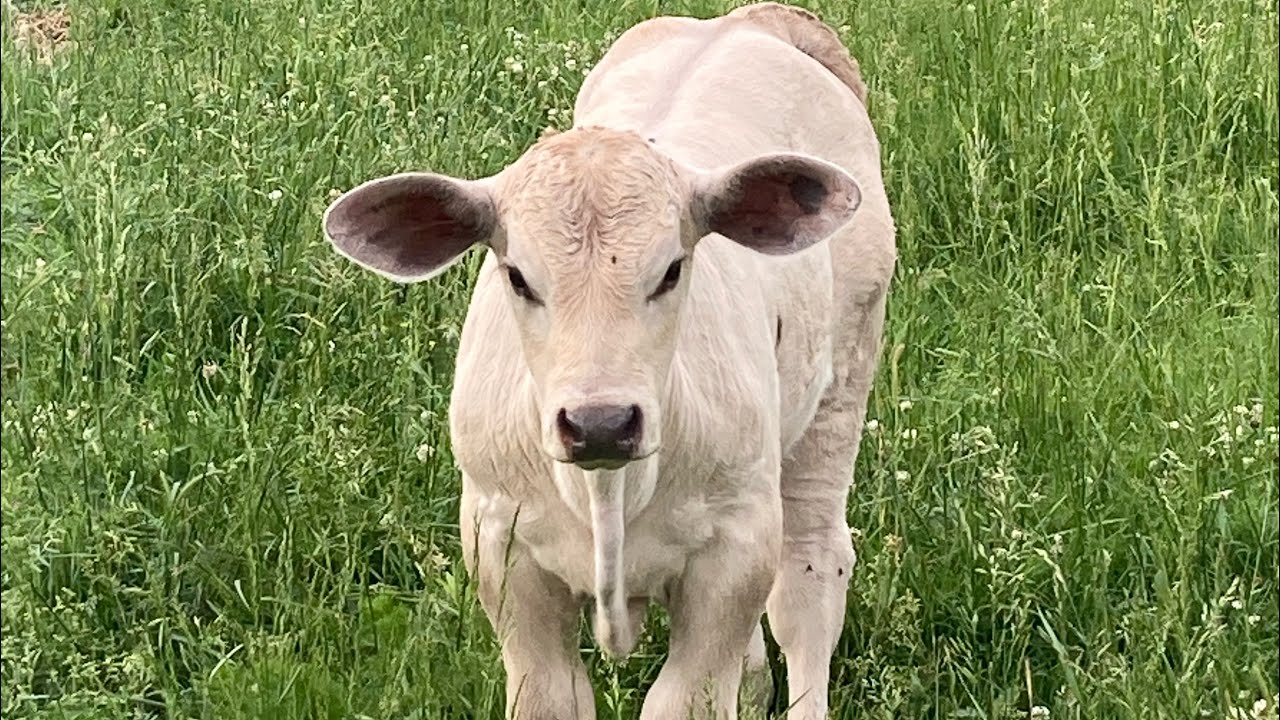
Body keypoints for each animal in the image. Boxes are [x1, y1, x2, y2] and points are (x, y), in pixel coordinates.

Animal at [322, 3, 896, 718]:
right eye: (518, 277)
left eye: (672, 269)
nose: (600, 422)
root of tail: (749, 23)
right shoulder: (503, 547)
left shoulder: (732, 550)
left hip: (841, 383)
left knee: (809, 573)